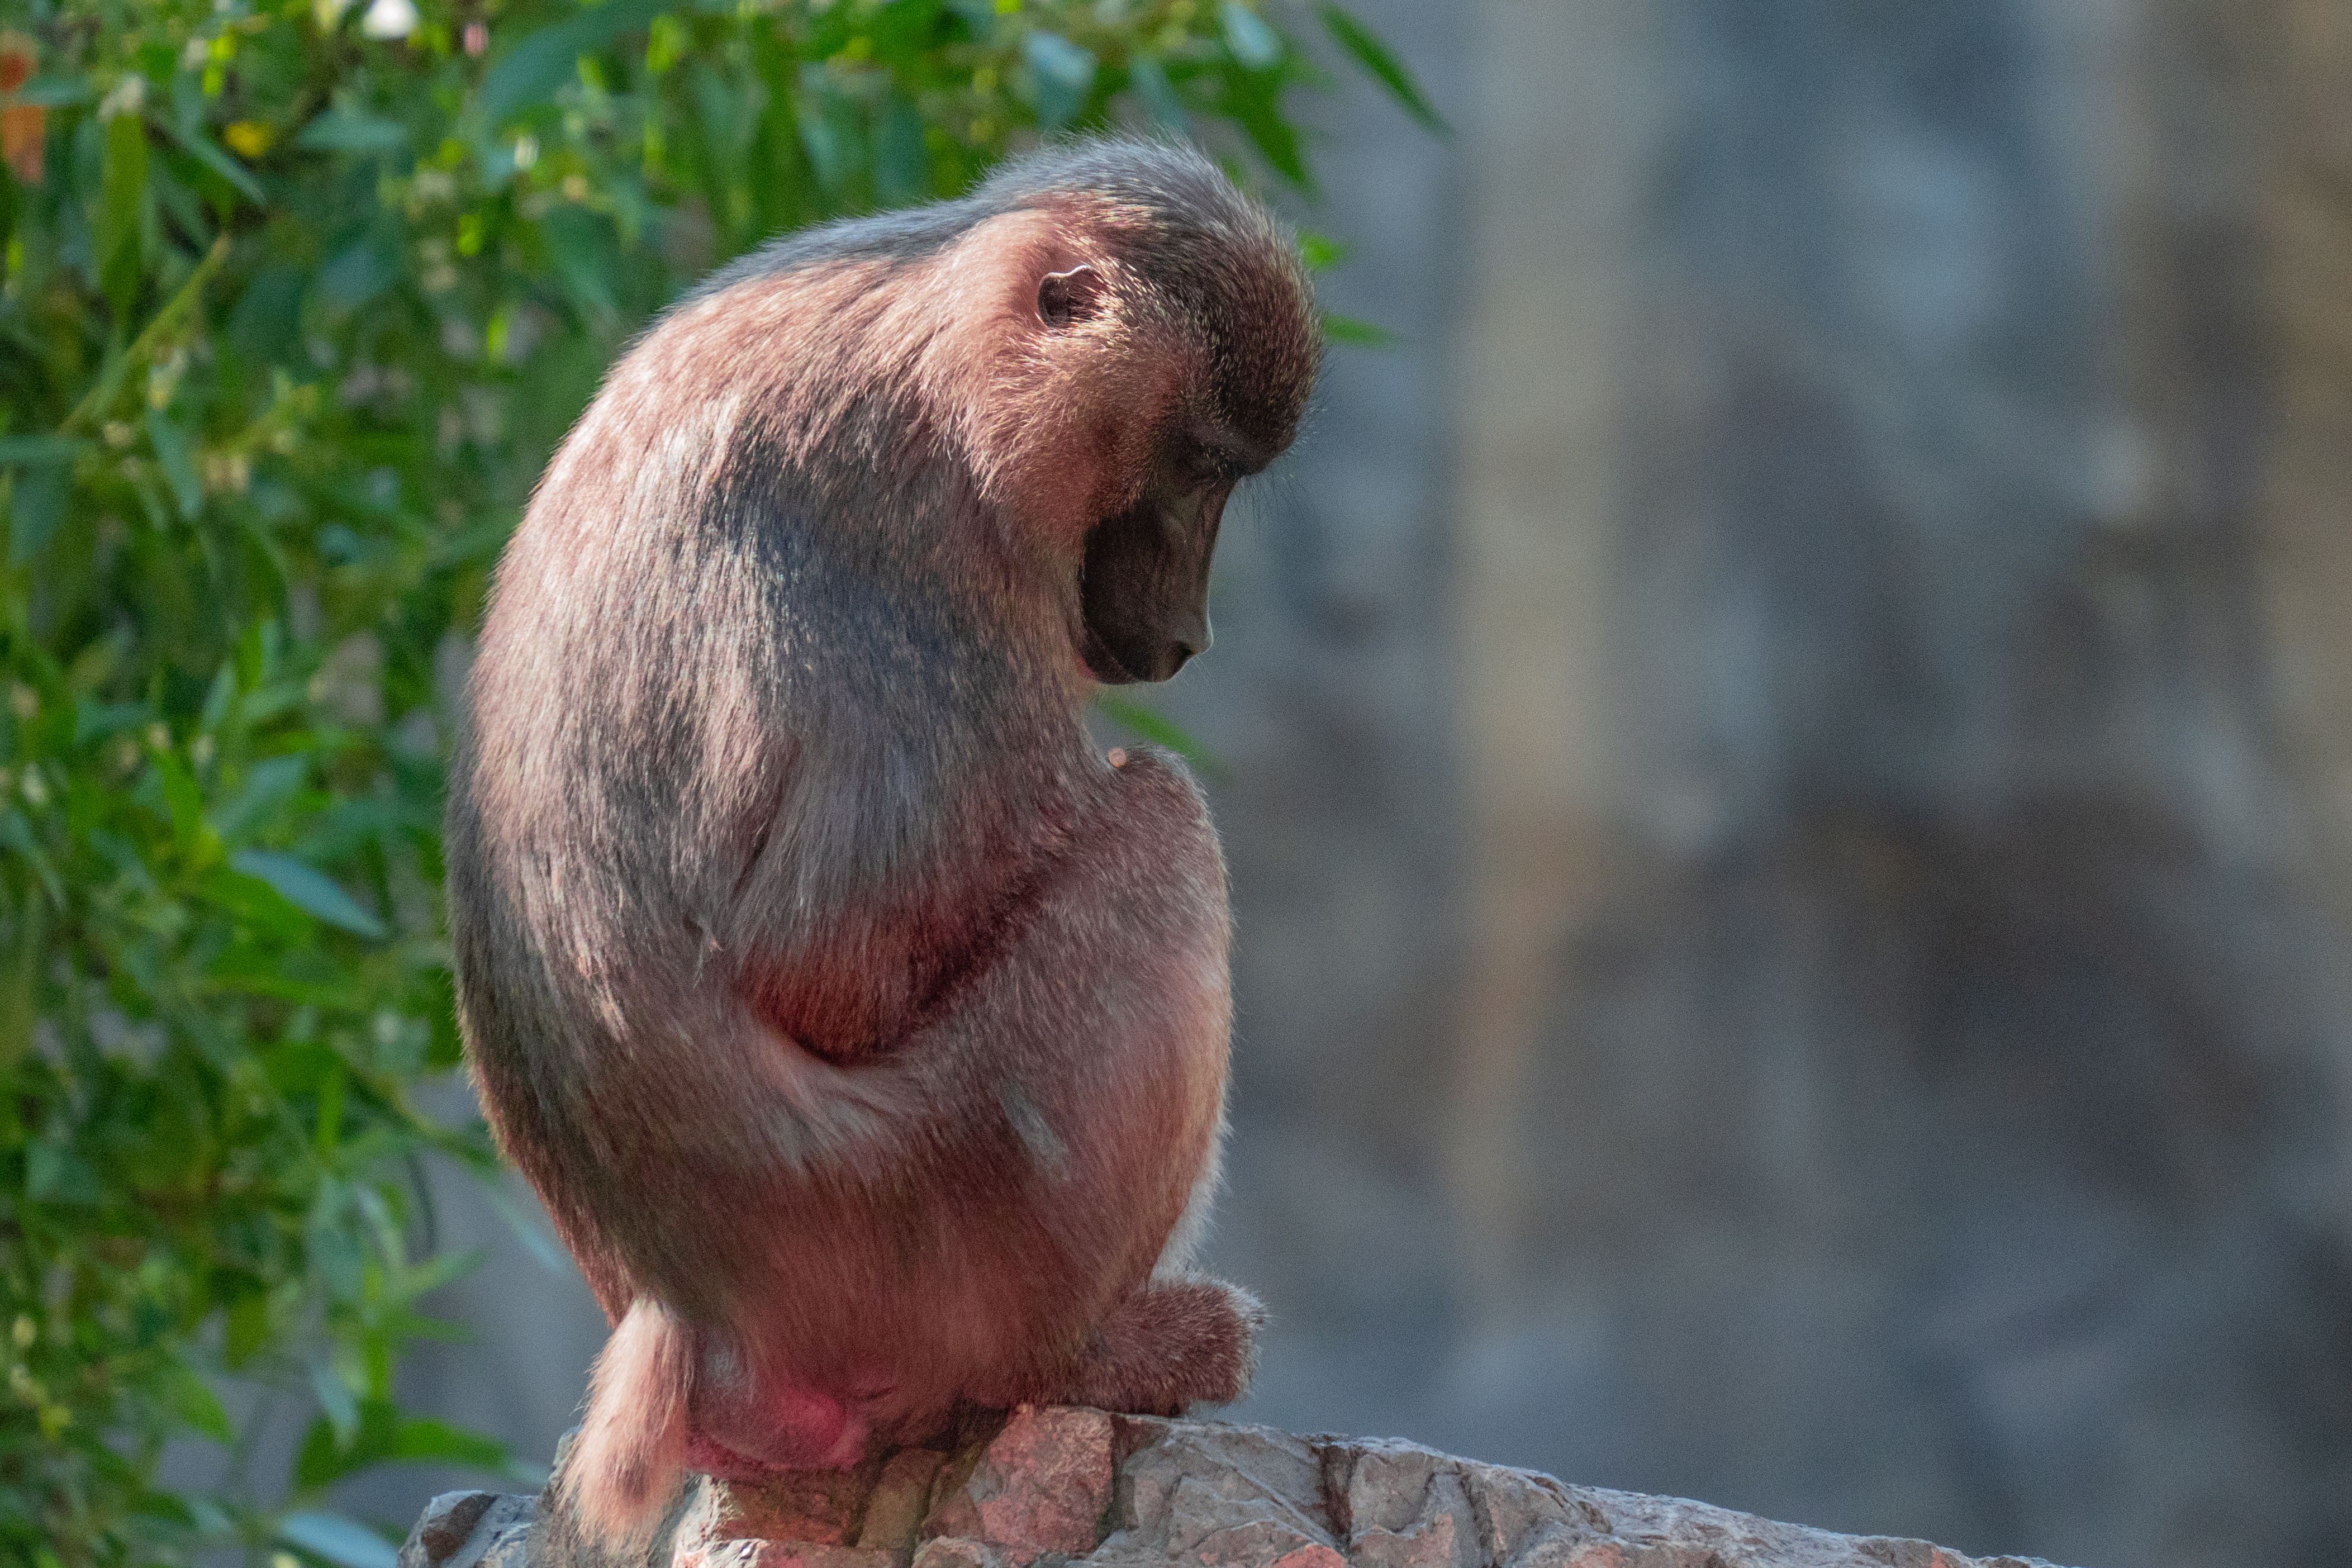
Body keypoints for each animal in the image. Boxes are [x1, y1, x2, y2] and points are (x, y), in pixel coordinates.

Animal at [442, 137, 1319, 1561]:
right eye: (1195, 466)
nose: (1184, 636)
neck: (926, 317)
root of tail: (694, 1329)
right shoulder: (938, 574)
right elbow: (829, 973)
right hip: (946, 1221)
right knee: (1162, 823)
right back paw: (1091, 1359)